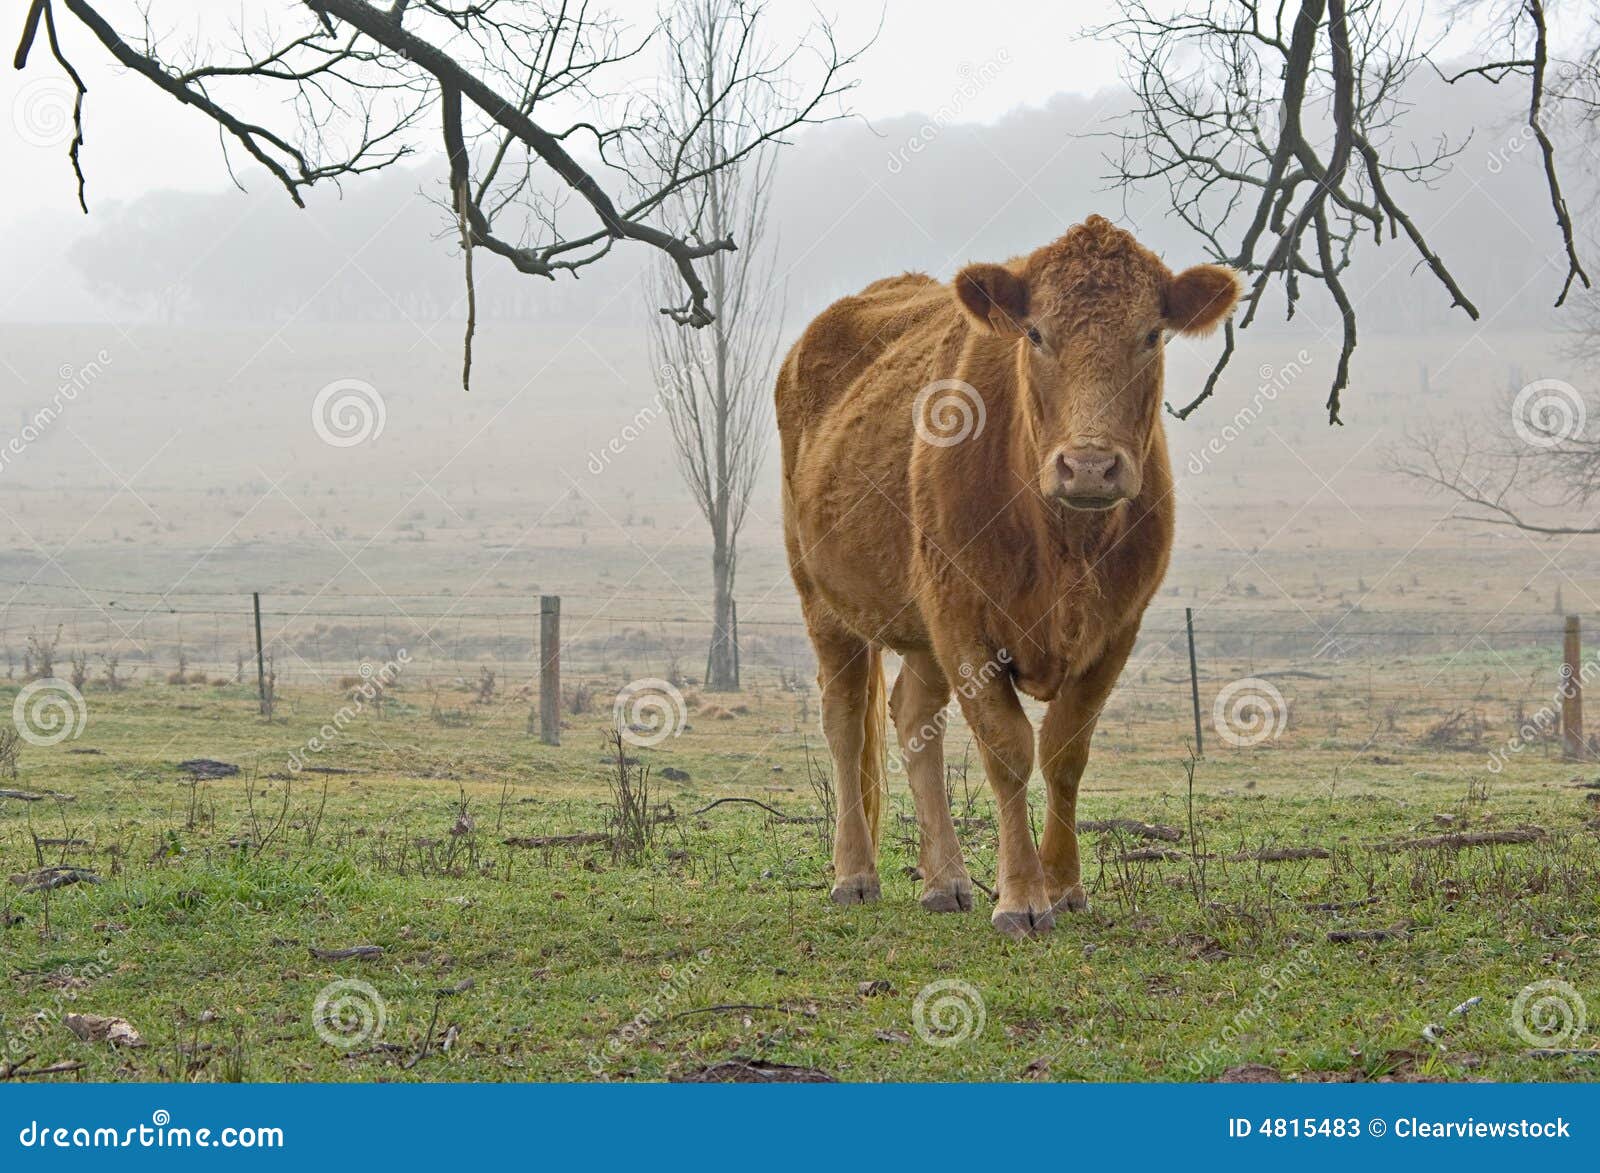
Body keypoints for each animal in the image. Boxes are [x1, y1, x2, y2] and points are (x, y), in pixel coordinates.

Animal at [775, 215, 1240, 938]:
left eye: (1151, 334)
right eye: (1036, 333)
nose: (1088, 465)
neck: (1063, 544)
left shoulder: (1116, 629)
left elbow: (1065, 751)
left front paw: (1066, 885)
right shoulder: (965, 619)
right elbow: (1008, 749)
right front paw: (1022, 895)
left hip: (921, 625)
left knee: (913, 716)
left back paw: (945, 880)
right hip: (825, 599)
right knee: (845, 720)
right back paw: (854, 874)